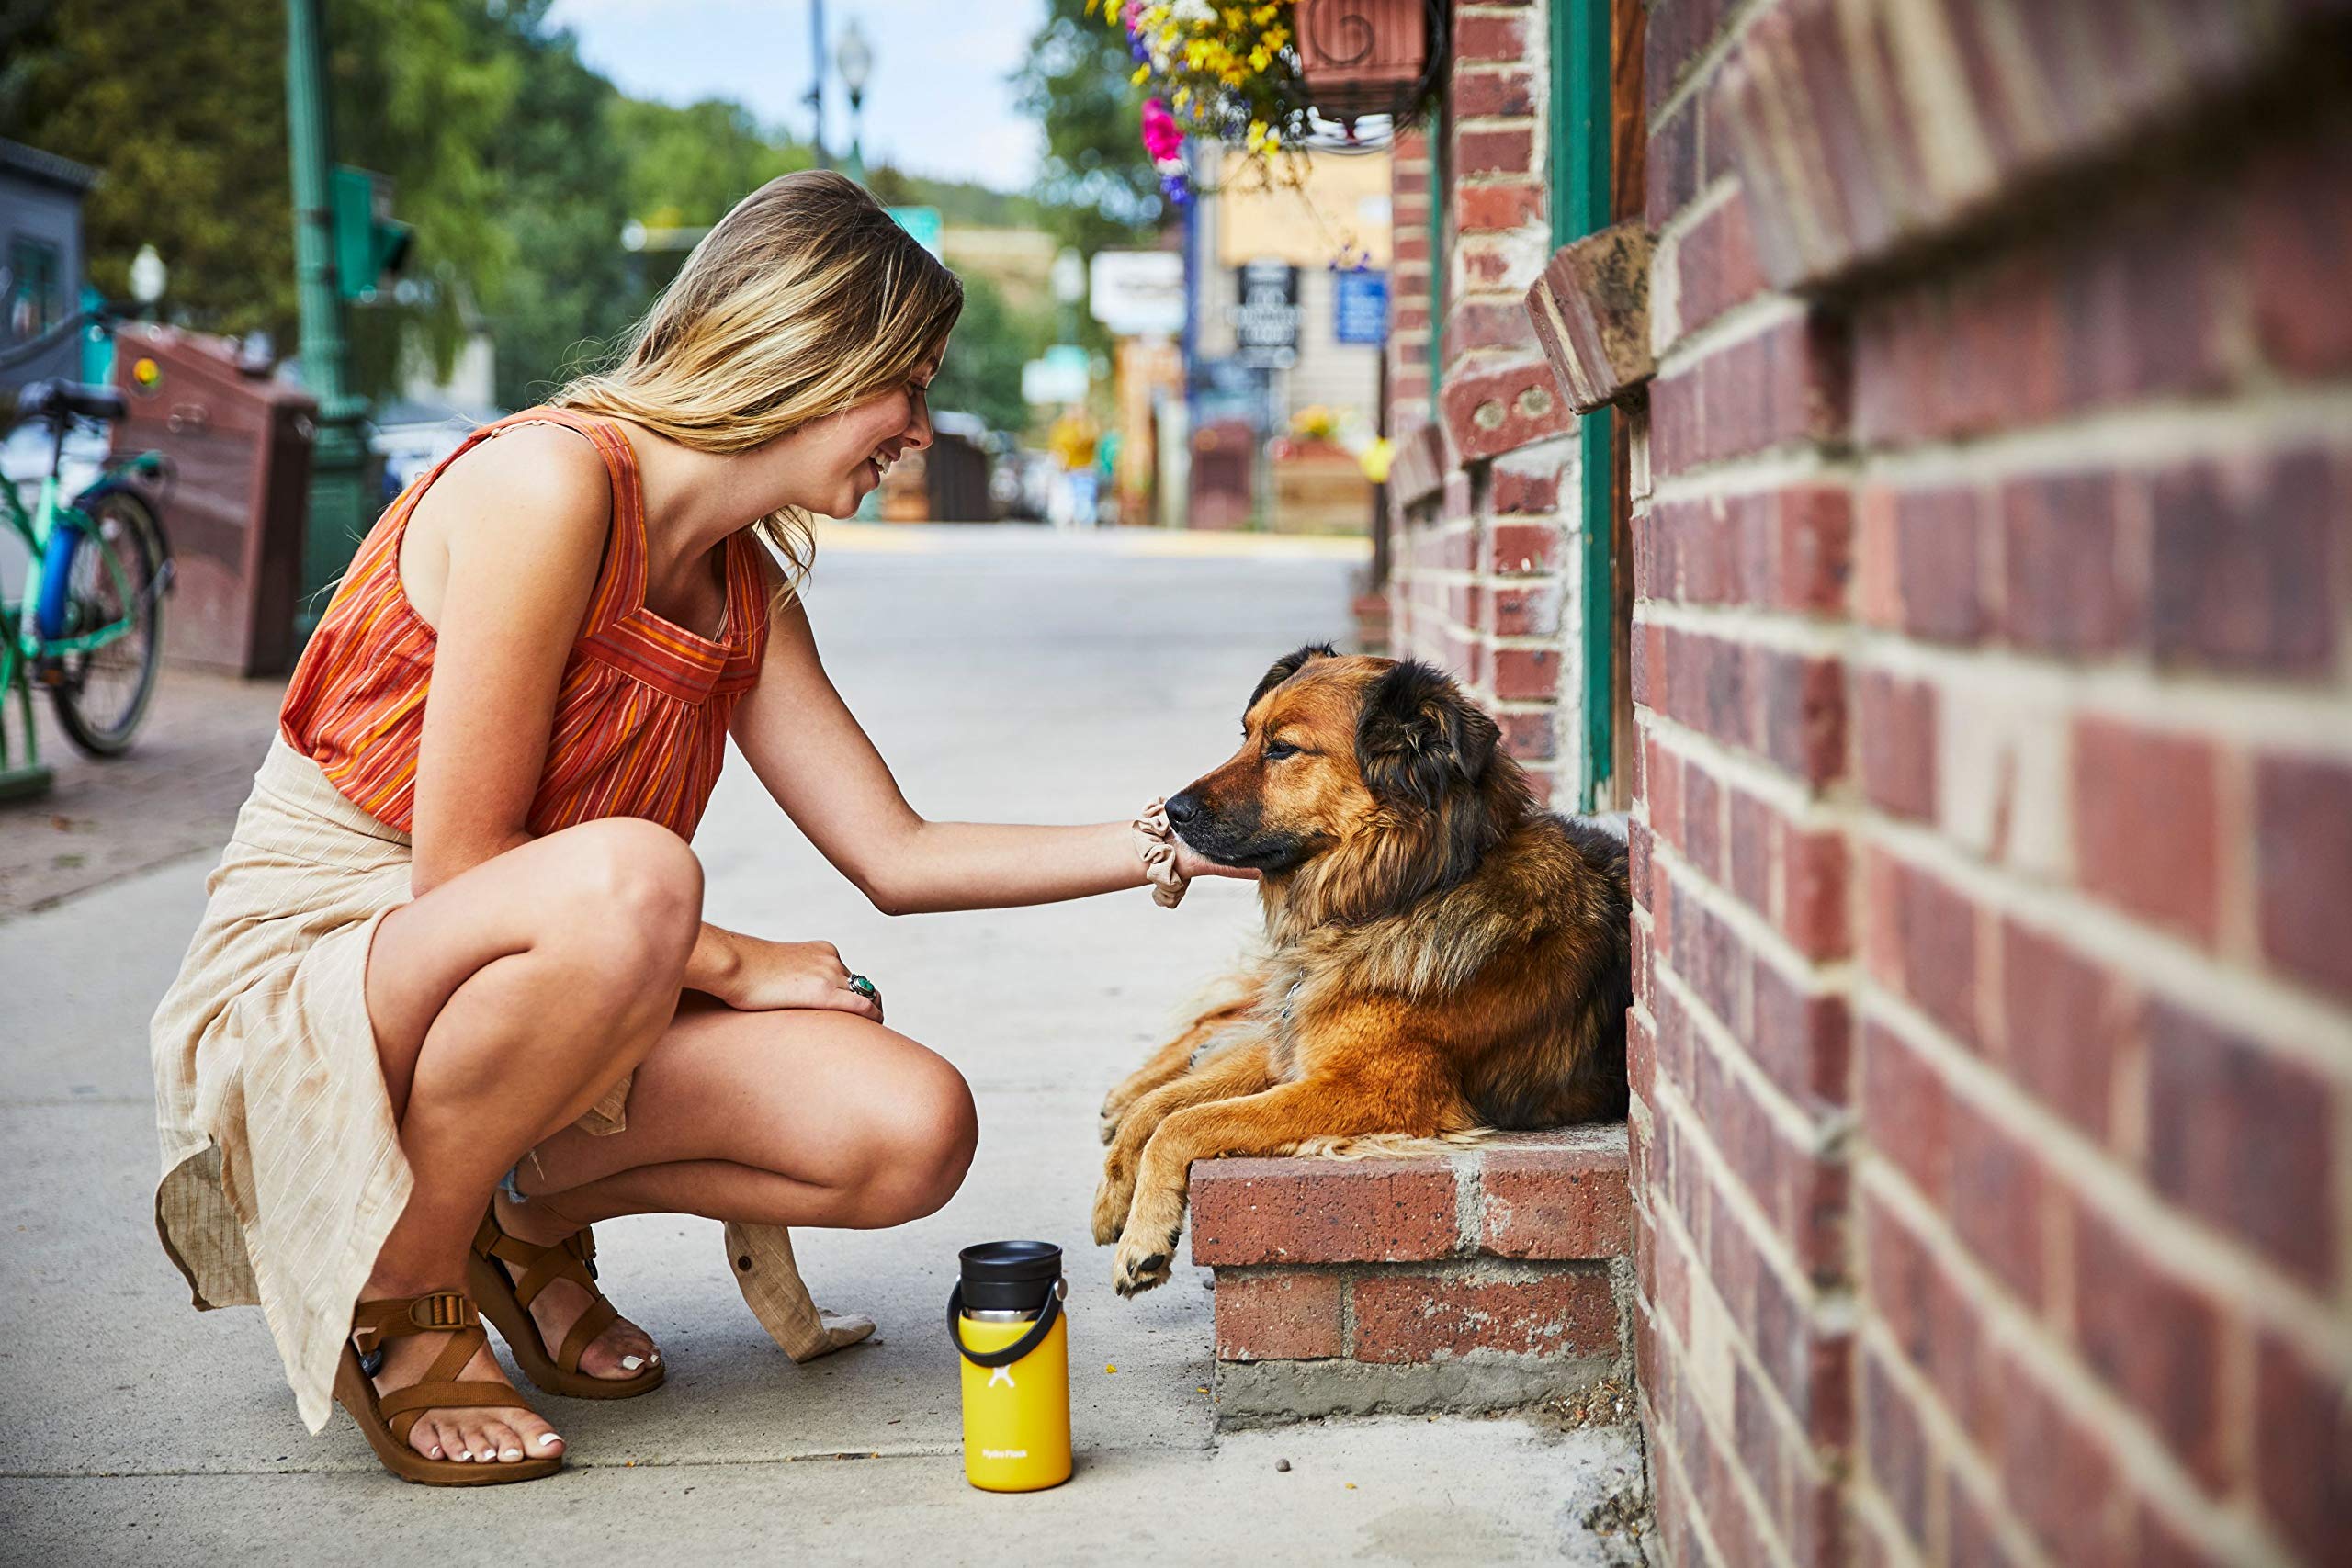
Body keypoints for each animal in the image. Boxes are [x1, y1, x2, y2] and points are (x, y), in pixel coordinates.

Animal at [1091, 644, 1627, 1297]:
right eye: (1247, 735)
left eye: (1283, 749)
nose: (1170, 810)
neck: (1401, 893)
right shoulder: (1295, 1049)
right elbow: (1162, 1107)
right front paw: (1114, 1196)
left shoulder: (1365, 1089)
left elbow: (1184, 1122)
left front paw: (1143, 1234)